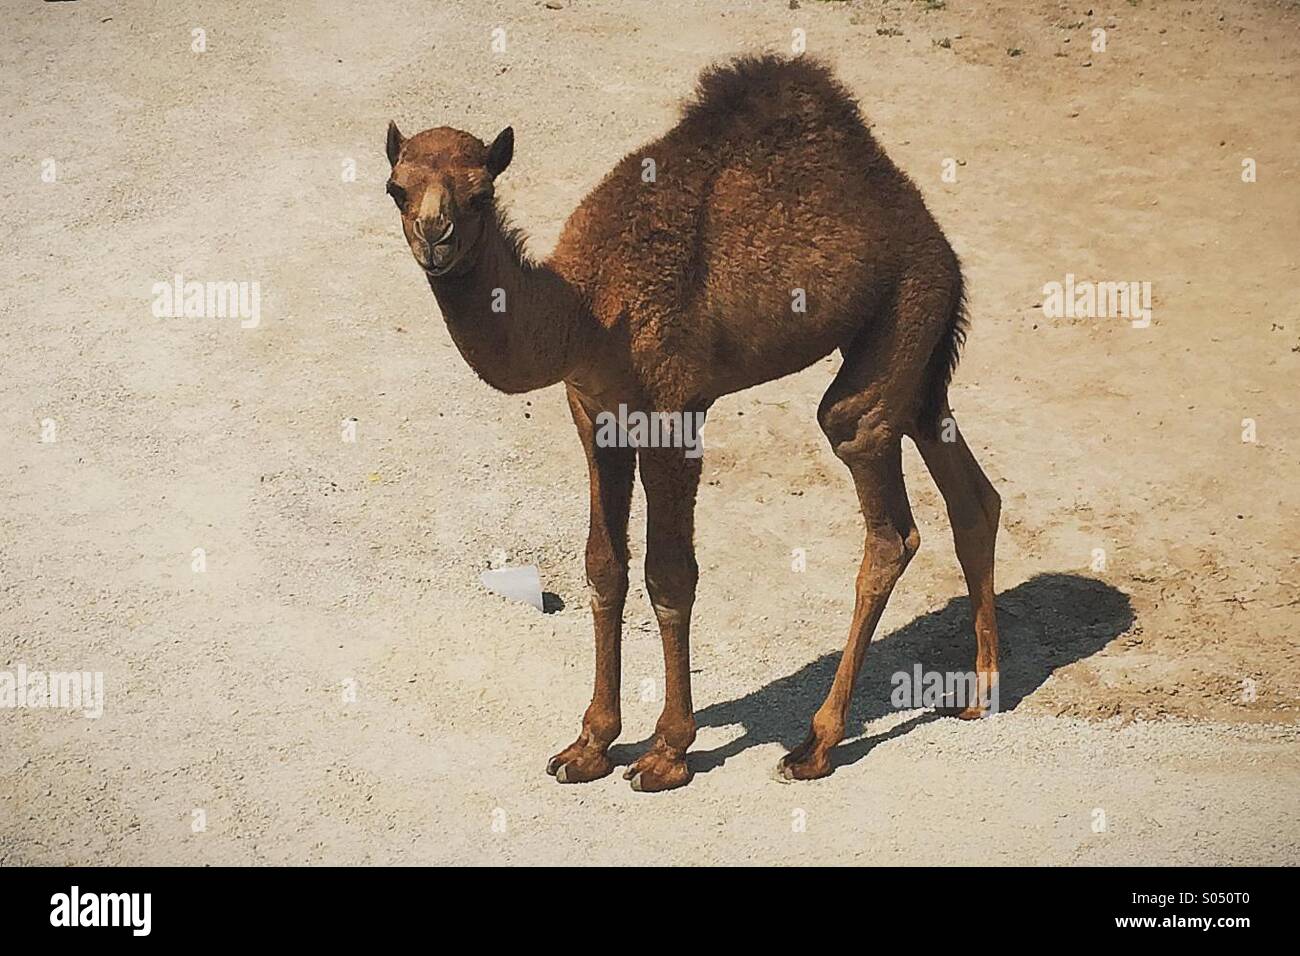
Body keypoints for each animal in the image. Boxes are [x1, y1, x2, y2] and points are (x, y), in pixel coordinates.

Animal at [385, 54, 1001, 791]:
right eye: (396, 188)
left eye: (480, 193)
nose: (436, 238)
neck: (587, 313)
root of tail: (934, 233)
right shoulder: (592, 411)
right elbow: (604, 565)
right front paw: (589, 745)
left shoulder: (672, 413)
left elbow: (669, 574)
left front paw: (666, 753)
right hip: (916, 340)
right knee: (964, 482)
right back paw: (982, 692)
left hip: (906, 305)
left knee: (879, 500)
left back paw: (816, 744)